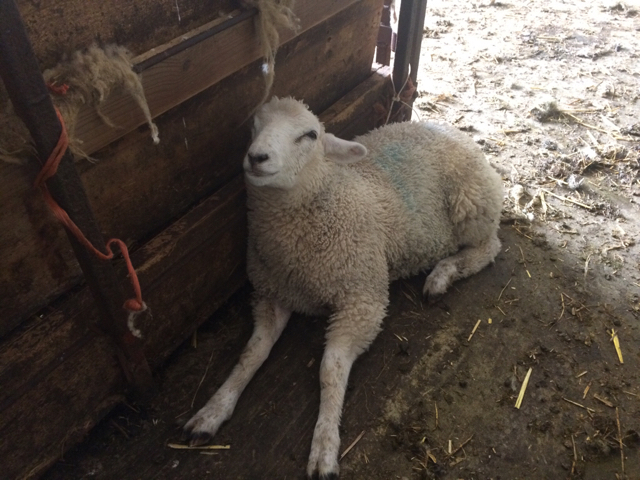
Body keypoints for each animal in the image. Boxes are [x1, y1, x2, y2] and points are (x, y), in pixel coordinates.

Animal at [183, 97, 504, 478]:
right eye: (254, 125)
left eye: (310, 135)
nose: (257, 157)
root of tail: (451, 130)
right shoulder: (271, 293)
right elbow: (252, 354)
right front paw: (214, 409)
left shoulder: (362, 298)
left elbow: (330, 369)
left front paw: (324, 445)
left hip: (472, 206)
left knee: (489, 246)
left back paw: (443, 275)